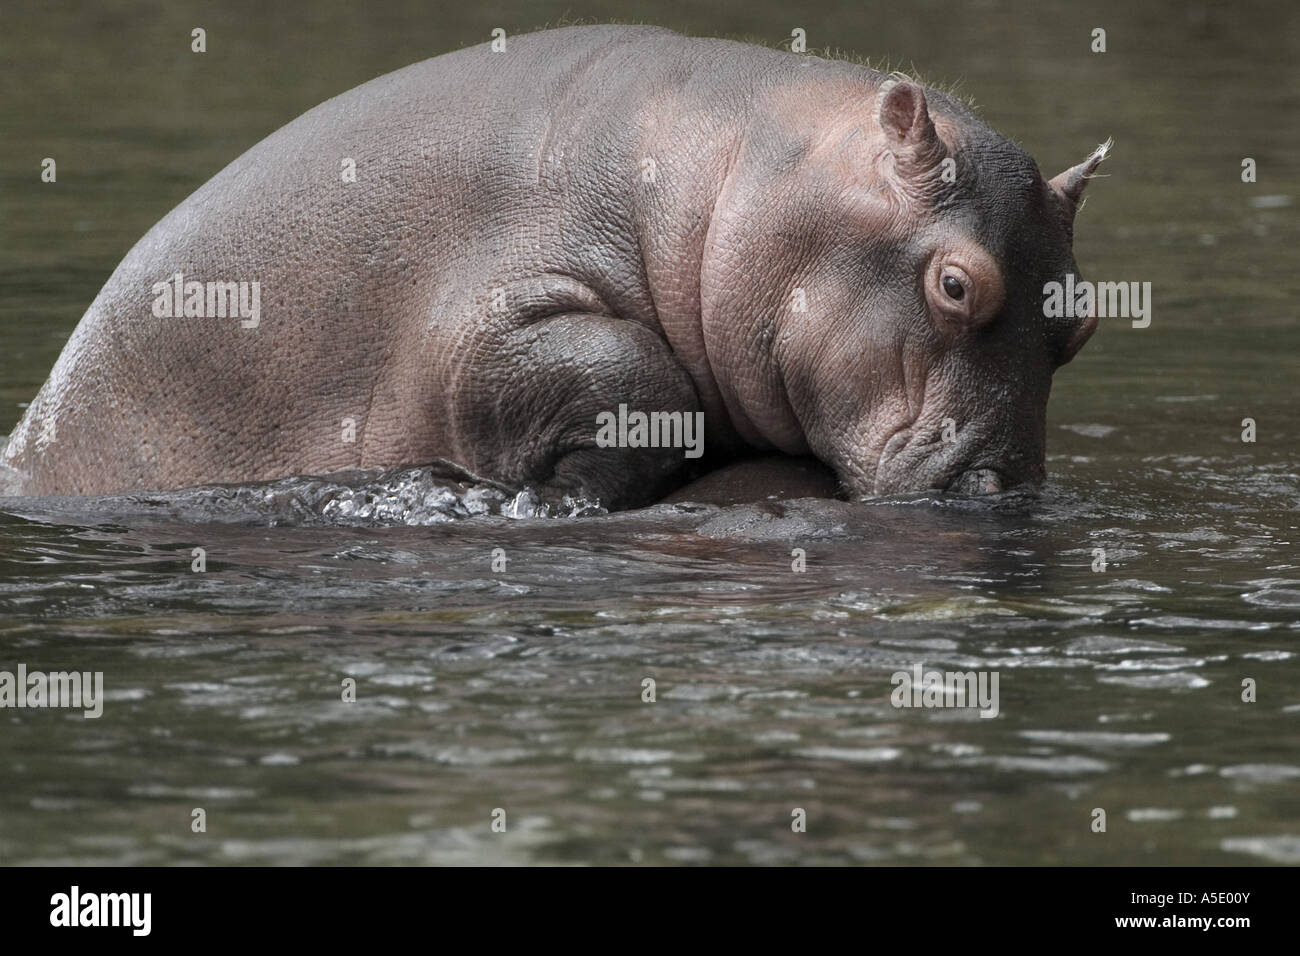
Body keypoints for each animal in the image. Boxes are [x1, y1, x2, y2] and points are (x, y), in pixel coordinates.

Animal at [0, 24, 1107, 509]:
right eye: (955, 284)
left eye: (1083, 318)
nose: (1003, 488)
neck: (747, 169)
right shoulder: (487, 320)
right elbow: (630, 373)